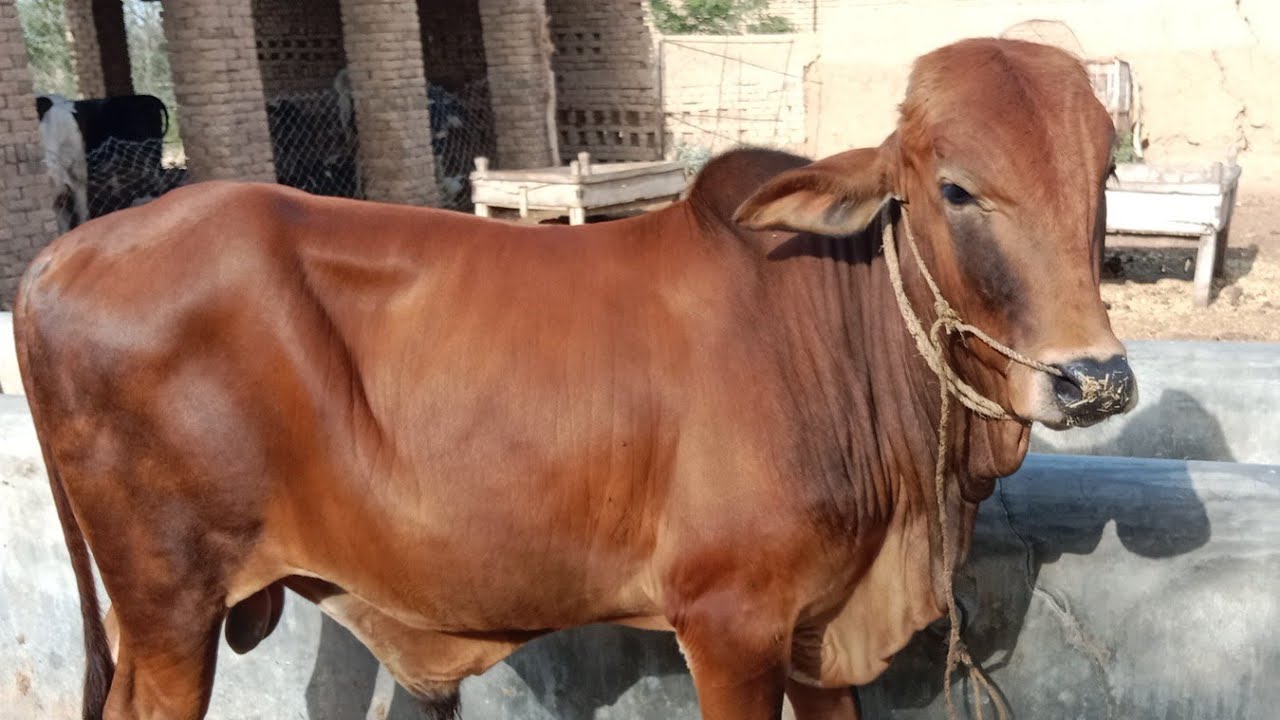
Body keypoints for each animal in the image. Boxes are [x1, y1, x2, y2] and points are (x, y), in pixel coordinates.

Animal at [14, 38, 1133, 720]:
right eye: (954, 189)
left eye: (1106, 173)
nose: (1093, 381)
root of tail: (59, 258)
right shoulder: (729, 625)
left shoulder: (822, 630)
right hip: (170, 610)